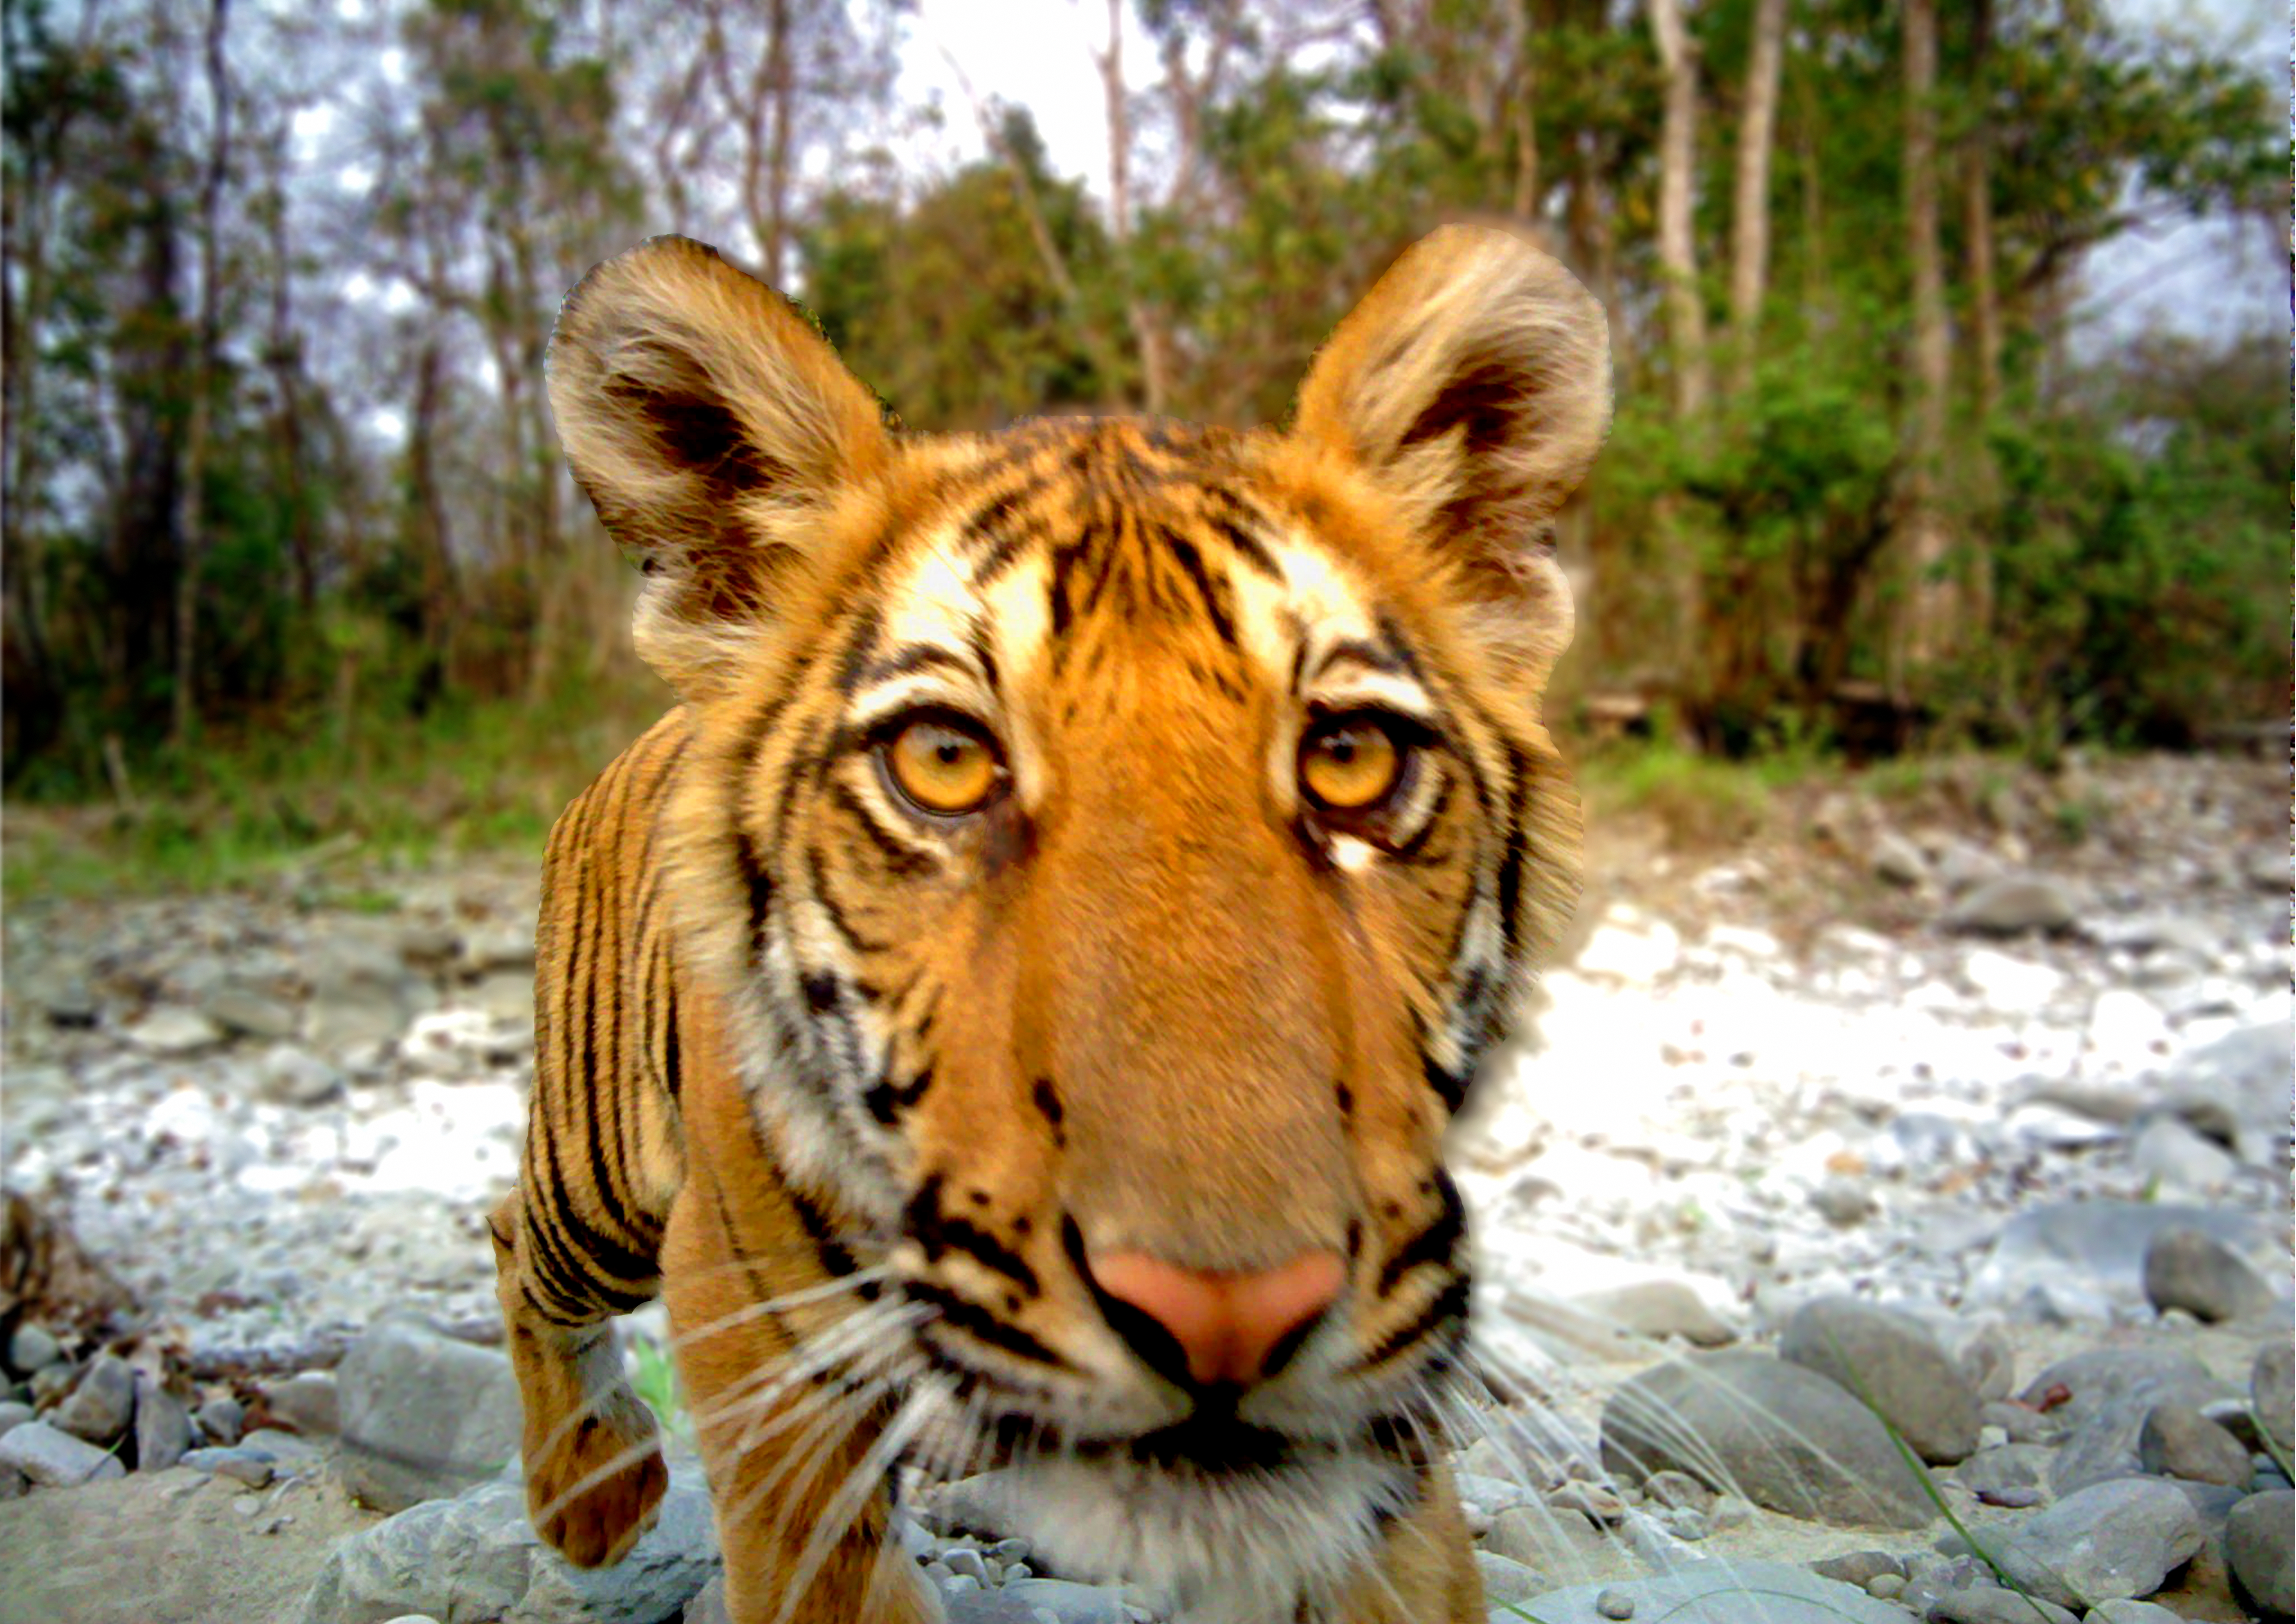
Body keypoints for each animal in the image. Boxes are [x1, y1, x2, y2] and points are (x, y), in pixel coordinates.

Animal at [489, 223, 1611, 1624]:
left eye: (1347, 758)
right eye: (944, 761)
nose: (1229, 1314)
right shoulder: (760, 1340)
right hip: (601, 1179)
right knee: (512, 1239)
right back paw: (589, 1488)